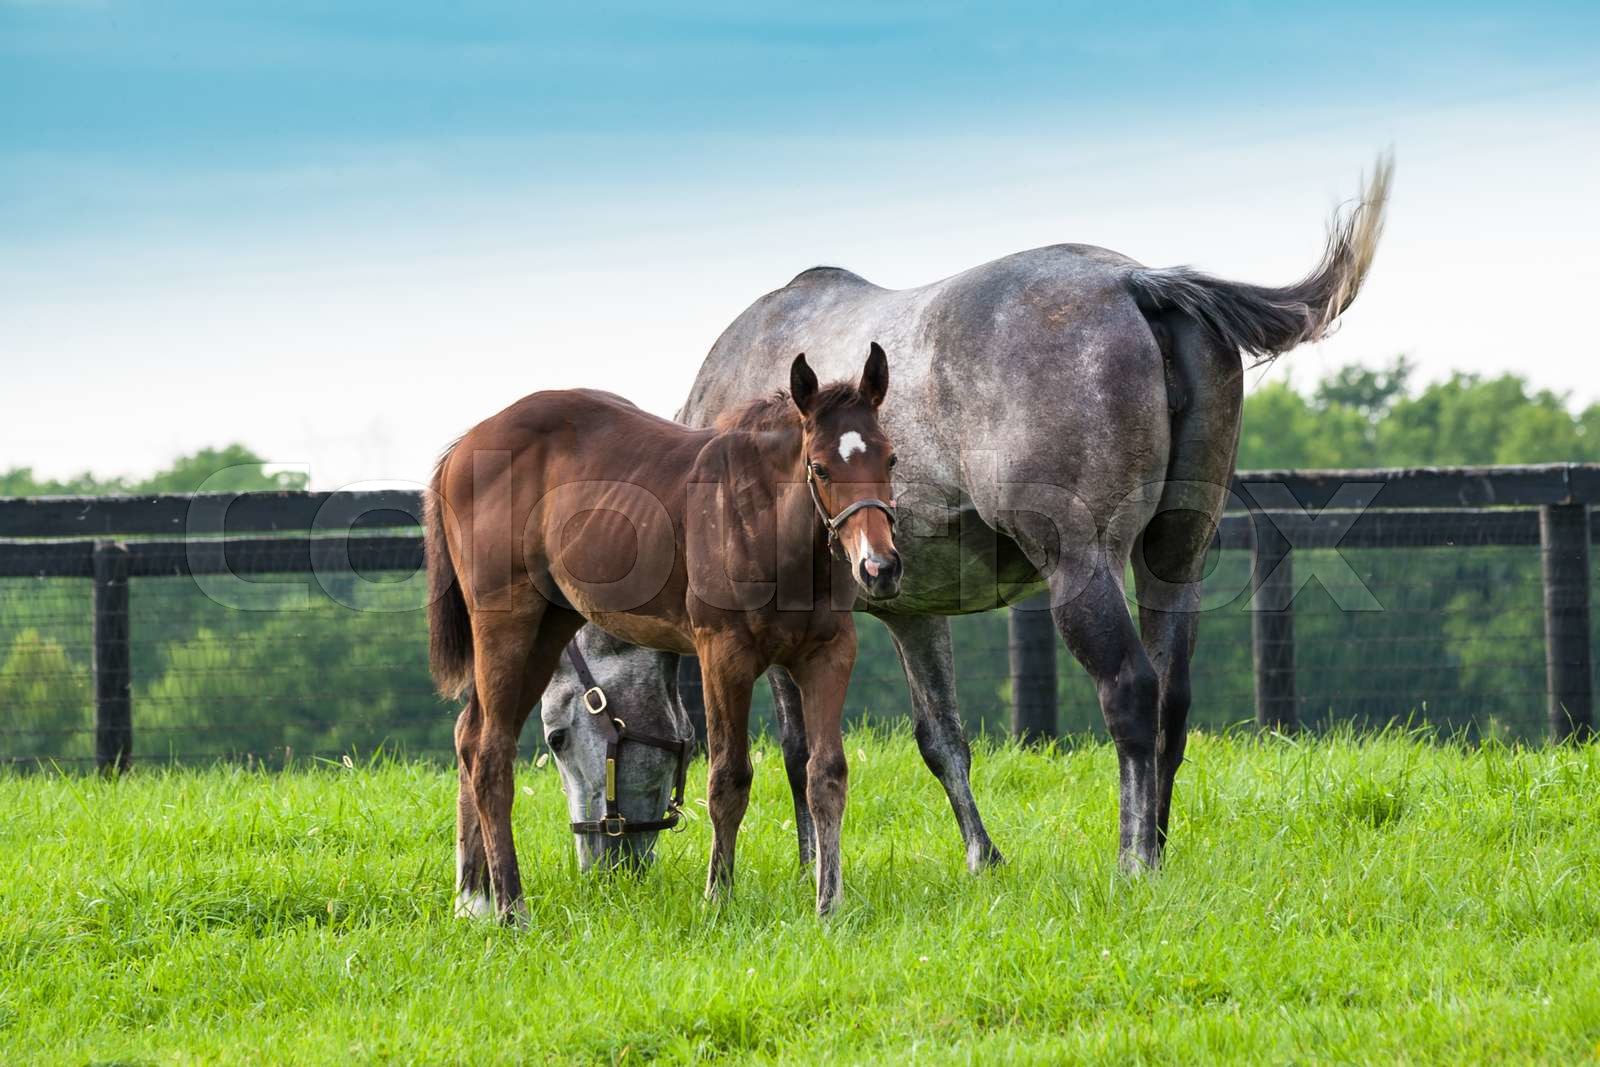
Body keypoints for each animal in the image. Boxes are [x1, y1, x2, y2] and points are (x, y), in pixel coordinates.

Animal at [426, 345, 903, 921]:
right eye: (821, 467)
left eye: (890, 459)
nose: (879, 568)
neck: (766, 522)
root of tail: (462, 448)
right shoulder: (723, 655)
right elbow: (728, 778)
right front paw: (717, 898)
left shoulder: (829, 655)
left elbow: (827, 774)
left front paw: (828, 906)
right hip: (504, 623)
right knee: (490, 753)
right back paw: (511, 909)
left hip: (547, 628)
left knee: (469, 735)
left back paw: (473, 898)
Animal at [552, 156, 1392, 875]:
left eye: (558, 733)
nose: (602, 862)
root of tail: (1138, 283)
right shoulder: (915, 613)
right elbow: (941, 739)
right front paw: (983, 855)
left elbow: (796, 748)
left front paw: (808, 866)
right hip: (1173, 562)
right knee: (1171, 703)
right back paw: (1156, 843)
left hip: (1084, 568)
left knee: (1129, 691)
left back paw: (1133, 861)